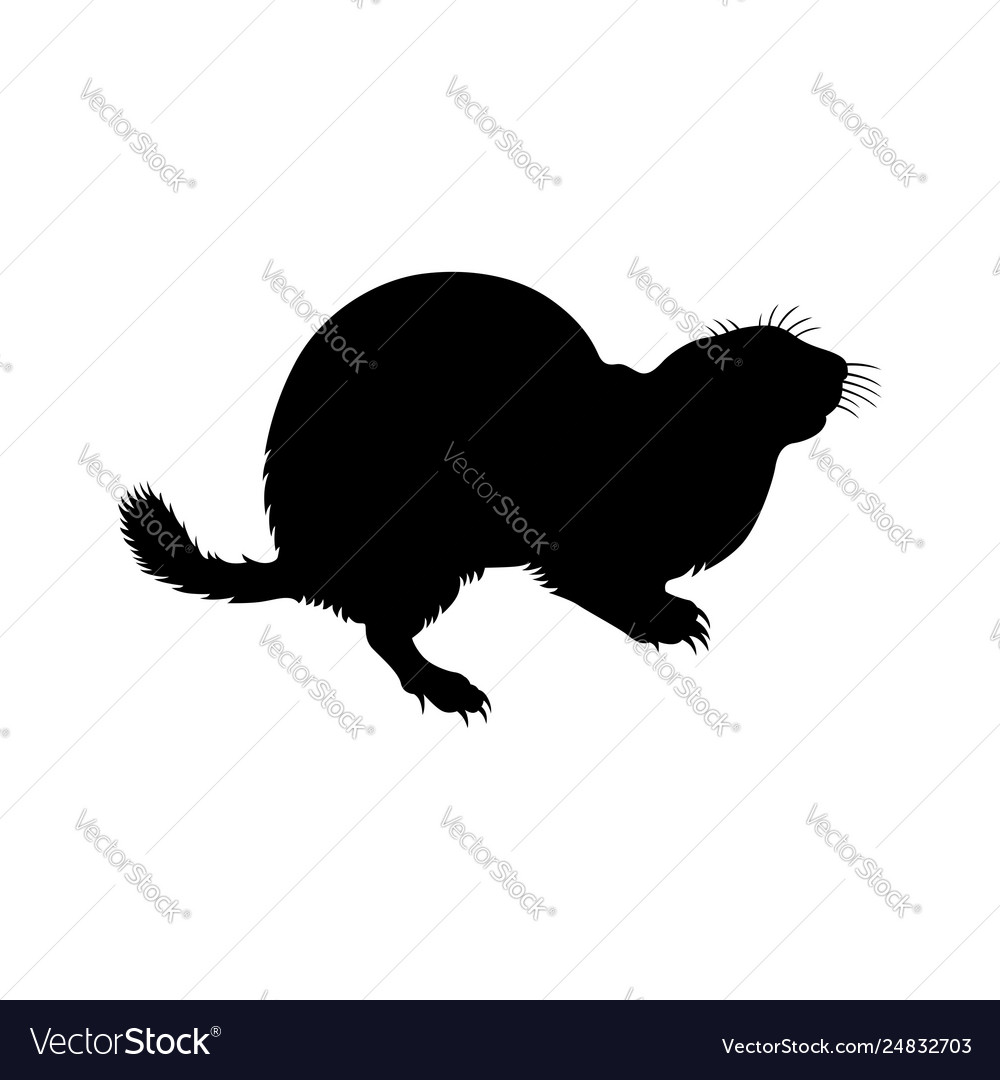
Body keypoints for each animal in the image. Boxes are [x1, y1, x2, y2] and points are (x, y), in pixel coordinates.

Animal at [122, 272, 875, 722]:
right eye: (771, 362)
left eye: (796, 340)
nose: (839, 363)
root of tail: (300, 550)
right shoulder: (578, 532)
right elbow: (588, 580)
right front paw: (665, 620)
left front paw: (670, 604)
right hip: (418, 545)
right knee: (380, 626)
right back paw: (447, 685)